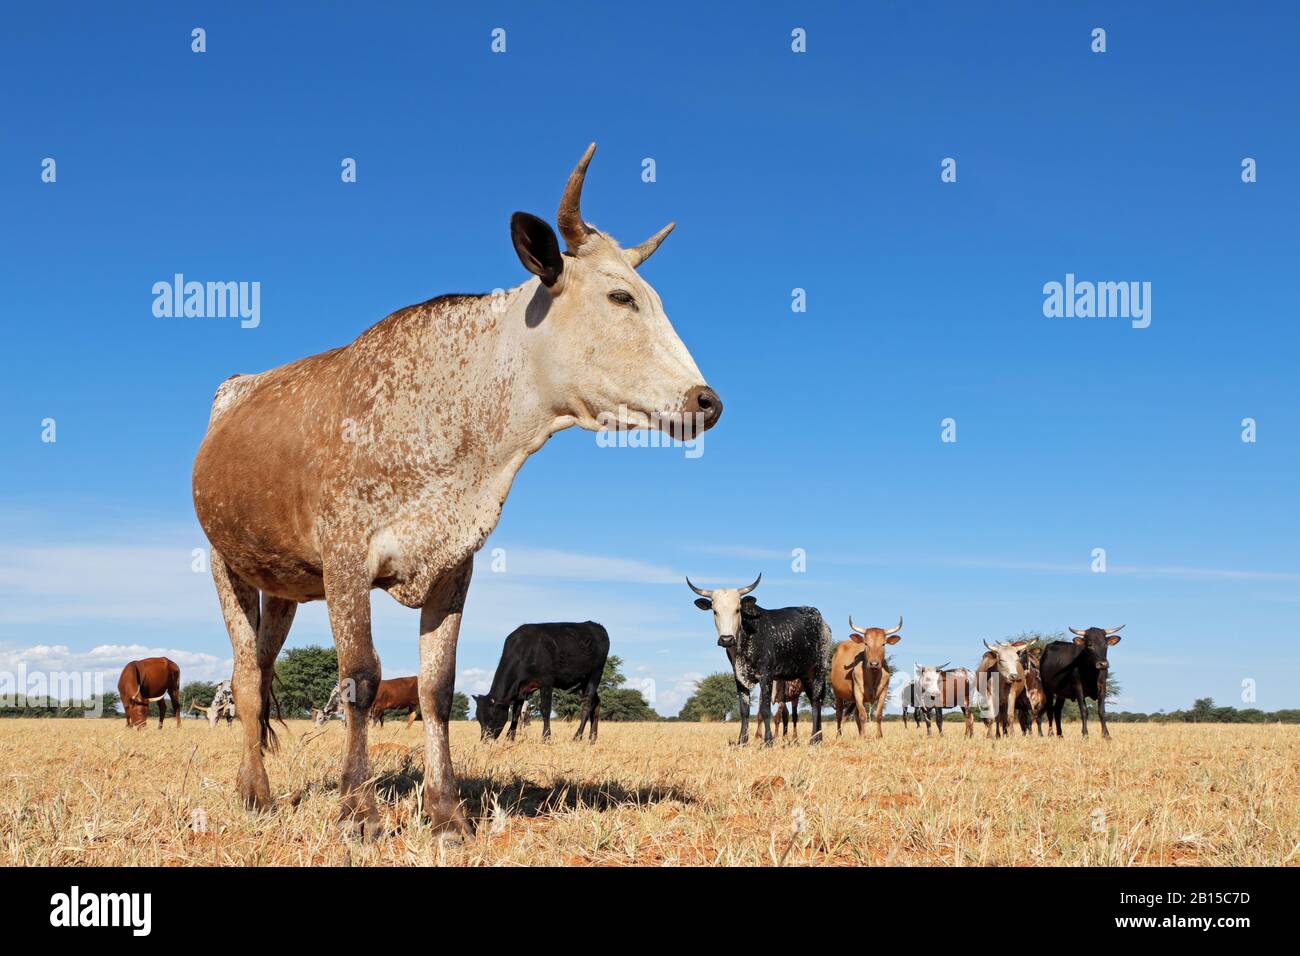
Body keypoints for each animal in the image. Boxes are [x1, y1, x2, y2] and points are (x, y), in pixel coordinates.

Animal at [474, 622, 610, 743]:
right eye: (479, 719)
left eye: (491, 717)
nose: (484, 740)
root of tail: (596, 626)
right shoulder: (521, 689)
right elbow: (516, 712)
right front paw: (510, 738)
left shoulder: (546, 682)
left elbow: (545, 709)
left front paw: (546, 737)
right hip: (585, 679)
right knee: (596, 703)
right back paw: (592, 738)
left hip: (595, 674)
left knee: (587, 704)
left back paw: (577, 737)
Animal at [687, 575, 829, 746]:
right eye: (715, 611)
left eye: (737, 610)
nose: (726, 639)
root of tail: (820, 619)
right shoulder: (739, 677)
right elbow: (744, 711)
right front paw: (742, 741)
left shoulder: (766, 677)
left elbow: (765, 710)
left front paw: (768, 741)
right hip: (805, 675)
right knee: (816, 702)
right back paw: (818, 737)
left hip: (819, 669)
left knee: (816, 701)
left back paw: (814, 739)